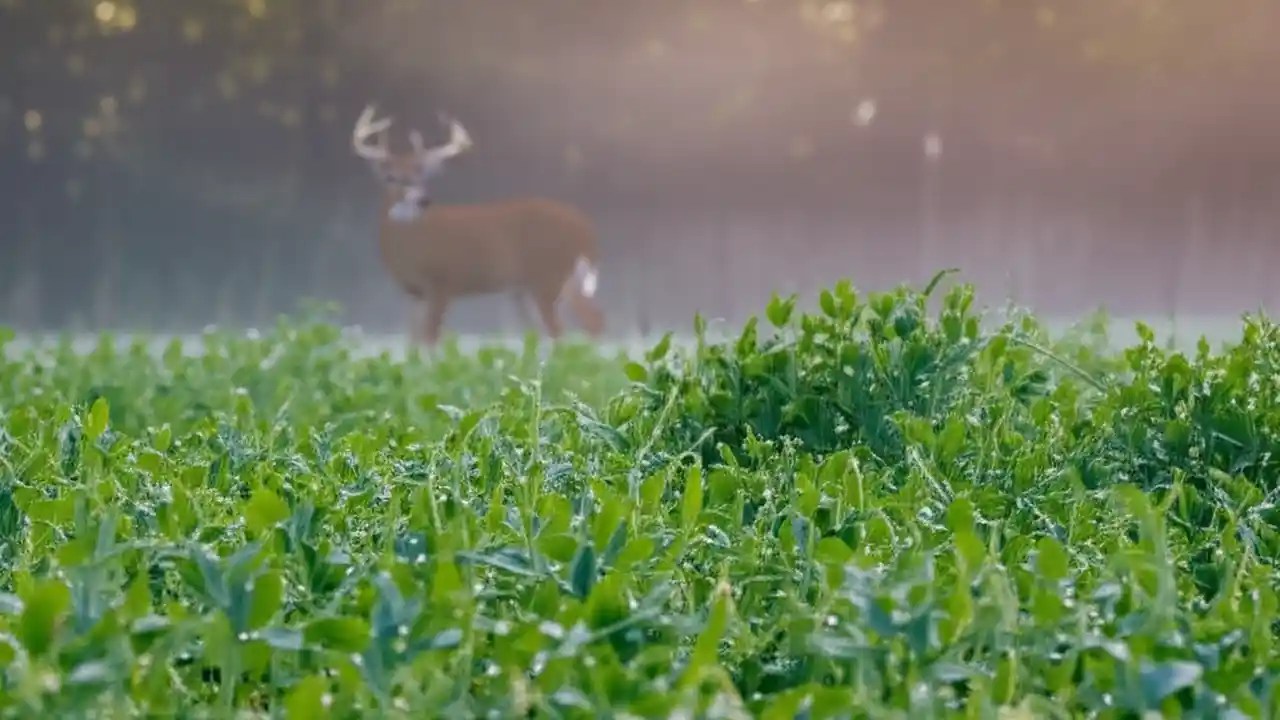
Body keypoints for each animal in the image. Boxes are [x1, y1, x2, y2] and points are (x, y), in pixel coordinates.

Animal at [351, 104, 605, 347]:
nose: (422, 200)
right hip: (540, 285)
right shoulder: (414, 292)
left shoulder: (443, 282)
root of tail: (587, 229)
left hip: (549, 276)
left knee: (567, 330)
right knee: (579, 323)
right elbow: (412, 341)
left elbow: (431, 339)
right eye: (390, 177)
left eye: (420, 175)